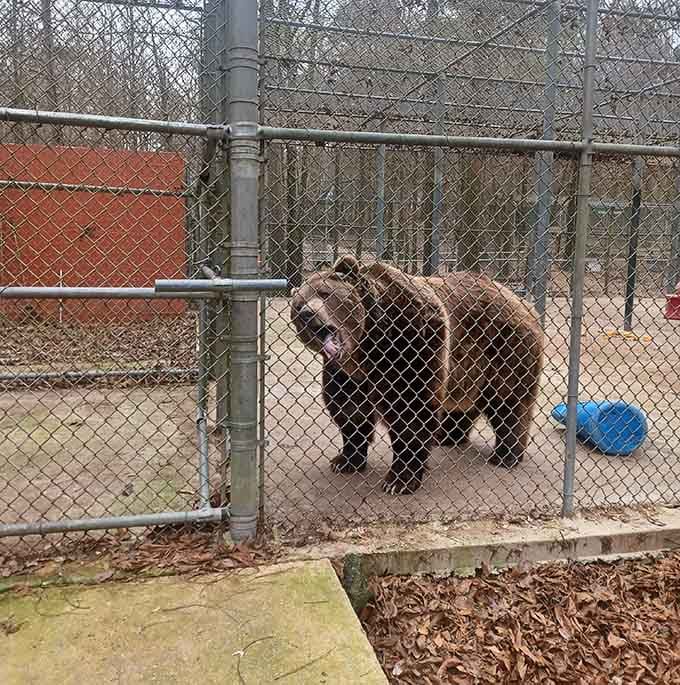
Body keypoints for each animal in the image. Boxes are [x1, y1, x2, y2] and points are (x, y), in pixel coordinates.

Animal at [289, 255, 544, 495]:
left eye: (324, 293)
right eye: (298, 305)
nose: (307, 313)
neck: (367, 346)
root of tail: (522, 301)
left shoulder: (412, 341)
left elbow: (411, 410)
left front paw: (399, 480)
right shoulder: (348, 373)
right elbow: (349, 409)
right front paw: (345, 460)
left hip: (502, 346)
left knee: (509, 401)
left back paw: (506, 454)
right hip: (468, 367)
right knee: (463, 400)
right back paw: (448, 436)